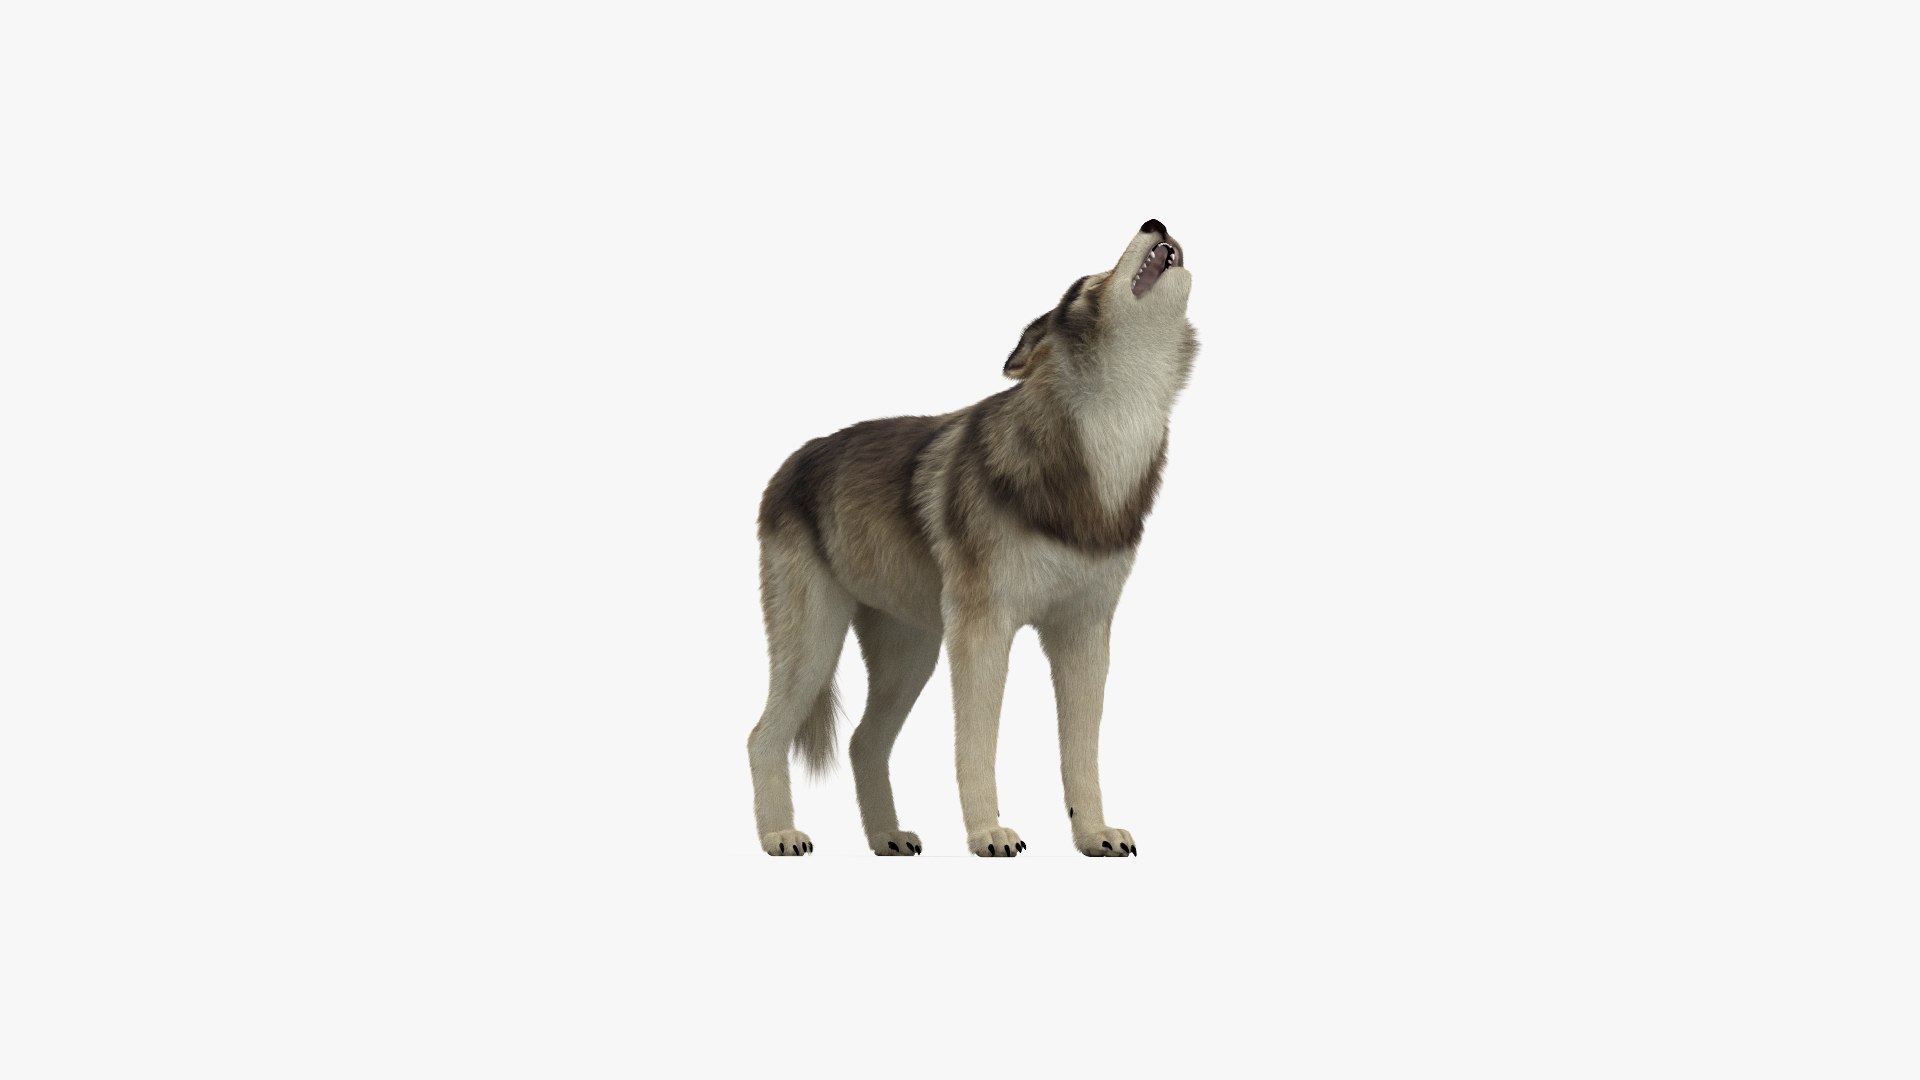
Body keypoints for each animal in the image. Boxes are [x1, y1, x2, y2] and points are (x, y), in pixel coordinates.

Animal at [749, 219, 1197, 857]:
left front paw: (1094, 835)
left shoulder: (1084, 636)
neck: (1108, 435)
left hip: (911, 657)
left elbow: (1081, 754)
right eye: (1092, 280)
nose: (1154, 222)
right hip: (816, 645)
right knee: (763, 734)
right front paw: (989, 833)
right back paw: (780, 835)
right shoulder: (983, 633)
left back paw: (886, 837)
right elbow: (976, 745)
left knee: (863, 741)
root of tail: (790, 464)